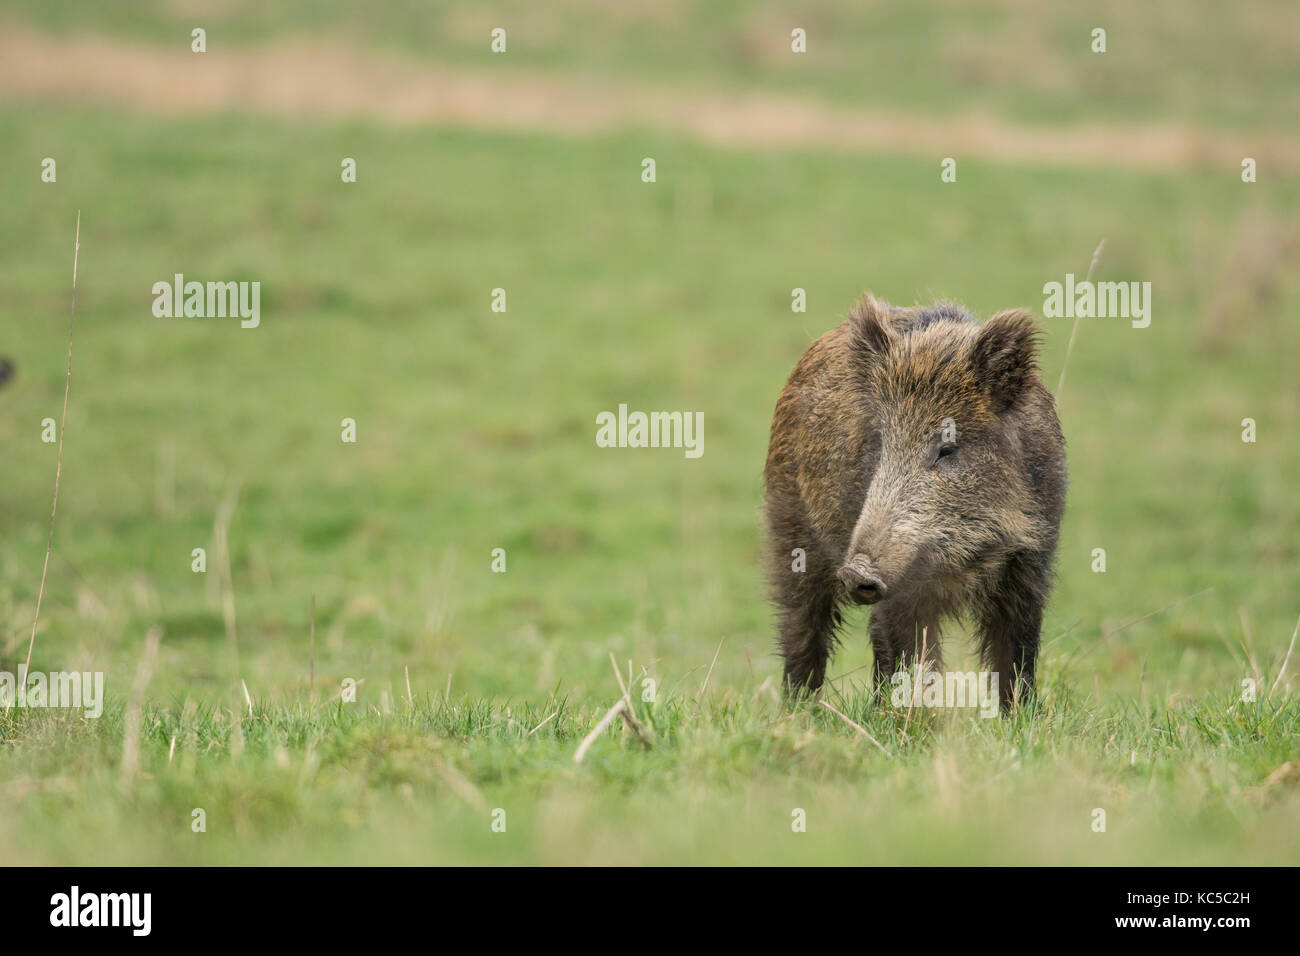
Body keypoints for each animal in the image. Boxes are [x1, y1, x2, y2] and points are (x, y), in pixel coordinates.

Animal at [763, 293, 1066, 710]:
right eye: (881, 444)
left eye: (948, 448)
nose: (856, 572)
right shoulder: (901, 590)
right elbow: (911, 654)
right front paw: (917, 718)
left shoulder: (1031, 561)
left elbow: (1018, 651)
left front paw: (1017, 716)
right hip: (788, 526)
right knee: (802, 624)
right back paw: (798, 712)